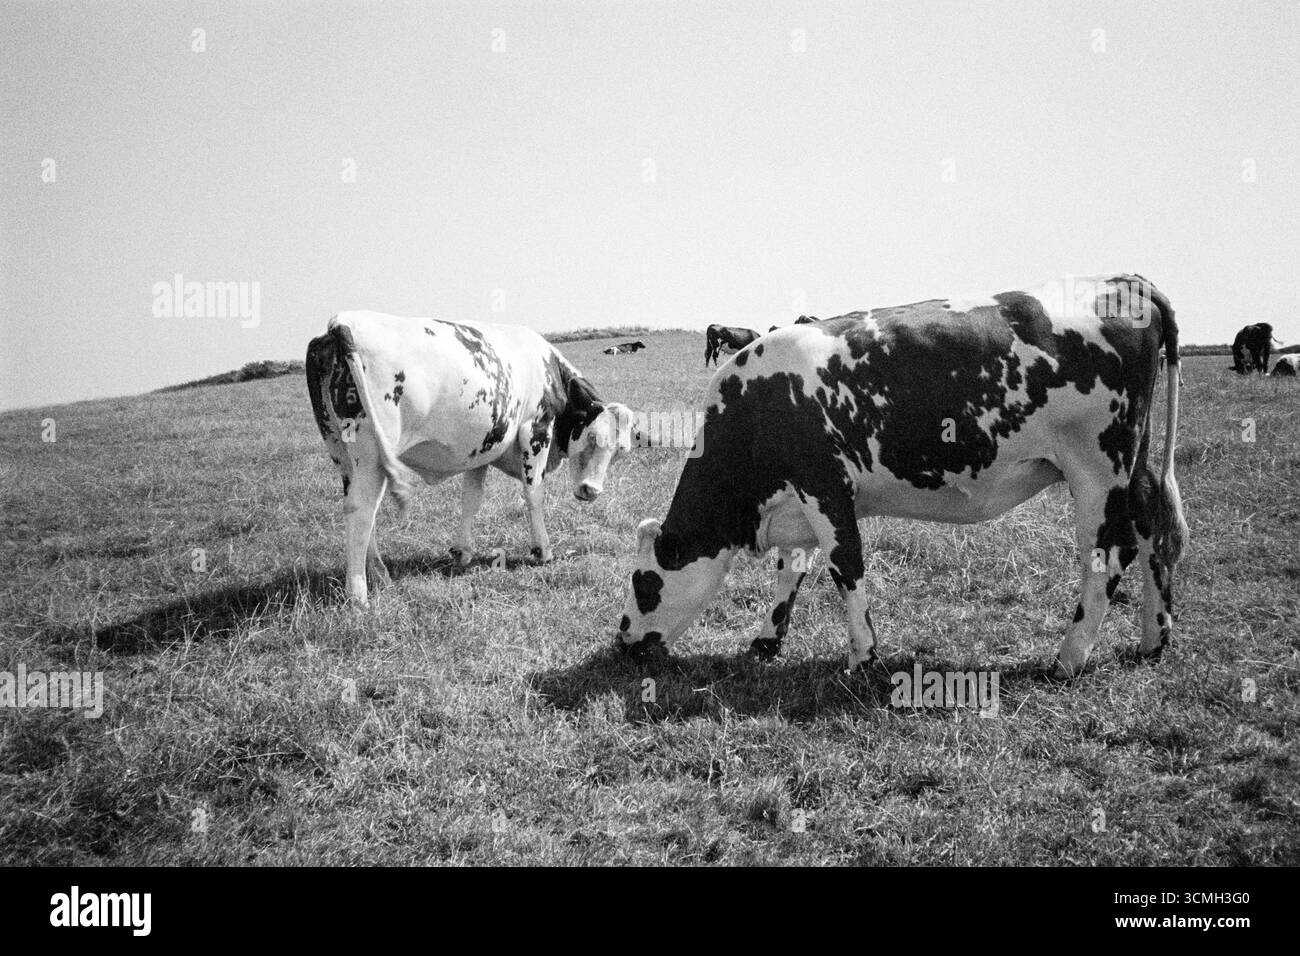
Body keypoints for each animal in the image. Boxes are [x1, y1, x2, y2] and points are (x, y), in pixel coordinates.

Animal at [307, 312, 634, 603]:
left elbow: (471, 499)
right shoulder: (535, 431)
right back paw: (358, 595)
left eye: (620, 450)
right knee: (361, 509)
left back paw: (379, 574)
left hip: (341, 452)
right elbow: (534, 494)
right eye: (592, 437)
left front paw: (462, 551)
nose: (591, 491)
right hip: (371, 454)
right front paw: (542, 550)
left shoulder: (483, 448)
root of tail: (343, 321)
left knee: (363, 508)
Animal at [618, 274, 1188, 680]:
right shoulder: (799, 501)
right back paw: (1153, 640)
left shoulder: (824, 487)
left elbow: (844, 565)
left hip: (1097, 470)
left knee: (1108, 554)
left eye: (643, 583)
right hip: (1132, 468)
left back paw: (1068, 658)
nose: (621, 642)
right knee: (1153, 533)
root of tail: (1121, 282)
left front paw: (863, 657)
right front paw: (766, 641)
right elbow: (792, 568)